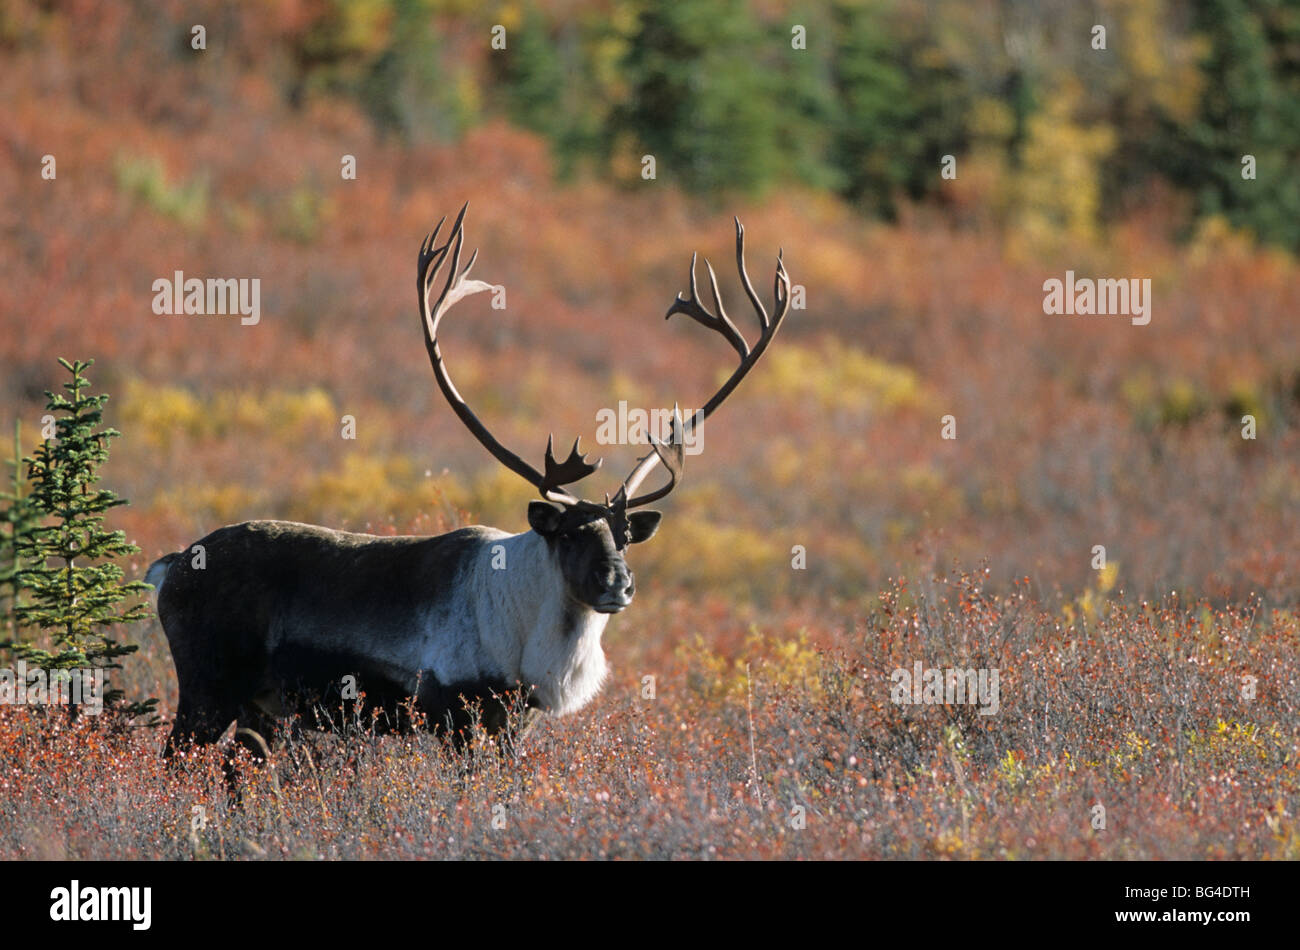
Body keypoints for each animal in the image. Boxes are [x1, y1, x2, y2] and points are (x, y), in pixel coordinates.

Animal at [148, 204, 791, 763]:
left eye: (626, 535)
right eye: (569, 534)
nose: (619, 585)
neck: (531, 631)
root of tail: (174, 562)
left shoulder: (515, 720)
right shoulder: (455, 712)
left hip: (262, 708)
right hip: (207, 688)